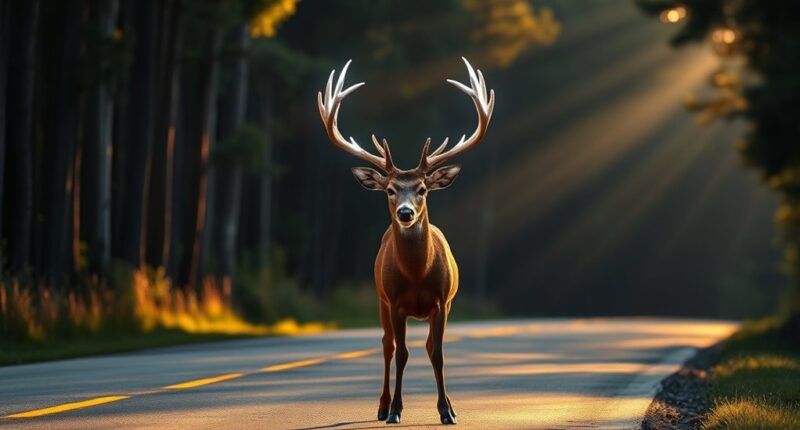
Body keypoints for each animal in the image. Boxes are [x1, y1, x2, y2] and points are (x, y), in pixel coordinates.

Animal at [317, 58, 495, 425]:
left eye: (423, 188)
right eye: (389, 189)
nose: (405, 212)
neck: (416, 276)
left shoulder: (442, 301)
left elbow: (437, 353)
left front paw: (447, 411)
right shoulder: (395, 302)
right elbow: (401, 354)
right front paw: (396, 410)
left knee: (426, 347)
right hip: (380, 300)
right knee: (387, 346)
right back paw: (383, 406)